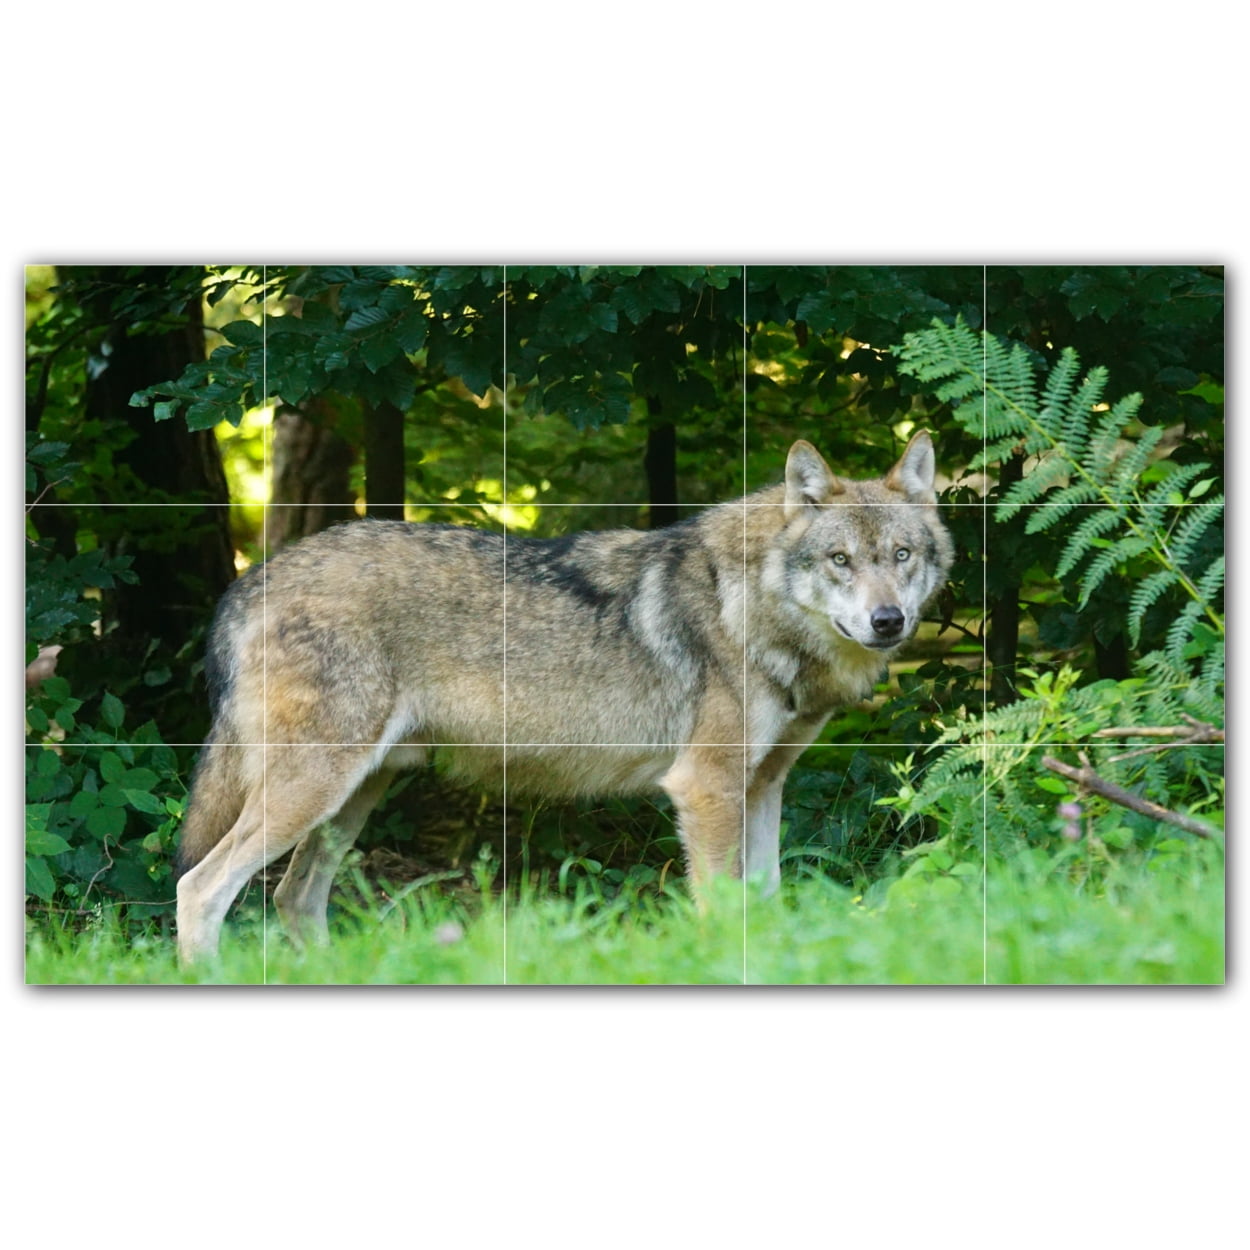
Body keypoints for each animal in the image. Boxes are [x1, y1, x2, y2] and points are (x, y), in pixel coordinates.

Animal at [174, 432, 953, 960]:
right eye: (840, 560)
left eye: (901, 556)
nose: (889, 621)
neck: (753, 607)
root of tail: (251, 579)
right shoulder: (706, 788)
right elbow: (721, 909)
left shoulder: (763, 786)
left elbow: (764, 904)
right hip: (314, 790)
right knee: (201, 888)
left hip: (353, 797)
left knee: (294, 899)